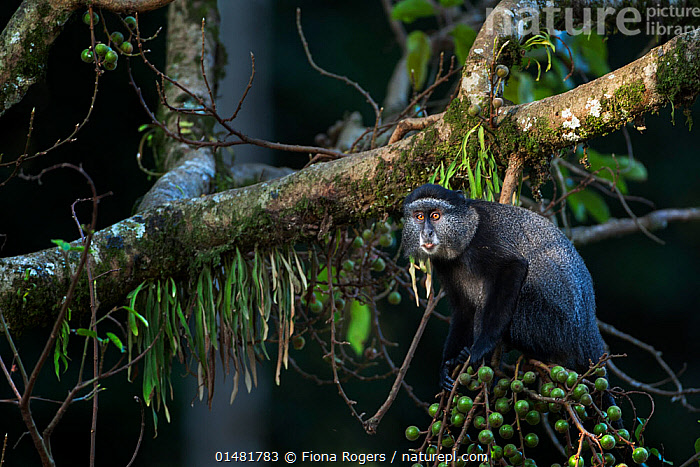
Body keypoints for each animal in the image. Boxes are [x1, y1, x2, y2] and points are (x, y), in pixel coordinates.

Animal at [401, 184, 609, 392]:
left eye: (435, 215)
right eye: (419, 216)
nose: (426, 233)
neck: (468, 232)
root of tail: (587, 332)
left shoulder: (486, 240)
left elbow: (513, 267)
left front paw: (482, 346)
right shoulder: (443, 264)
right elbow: (464, 309)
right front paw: (447, 365)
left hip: (553, 327)